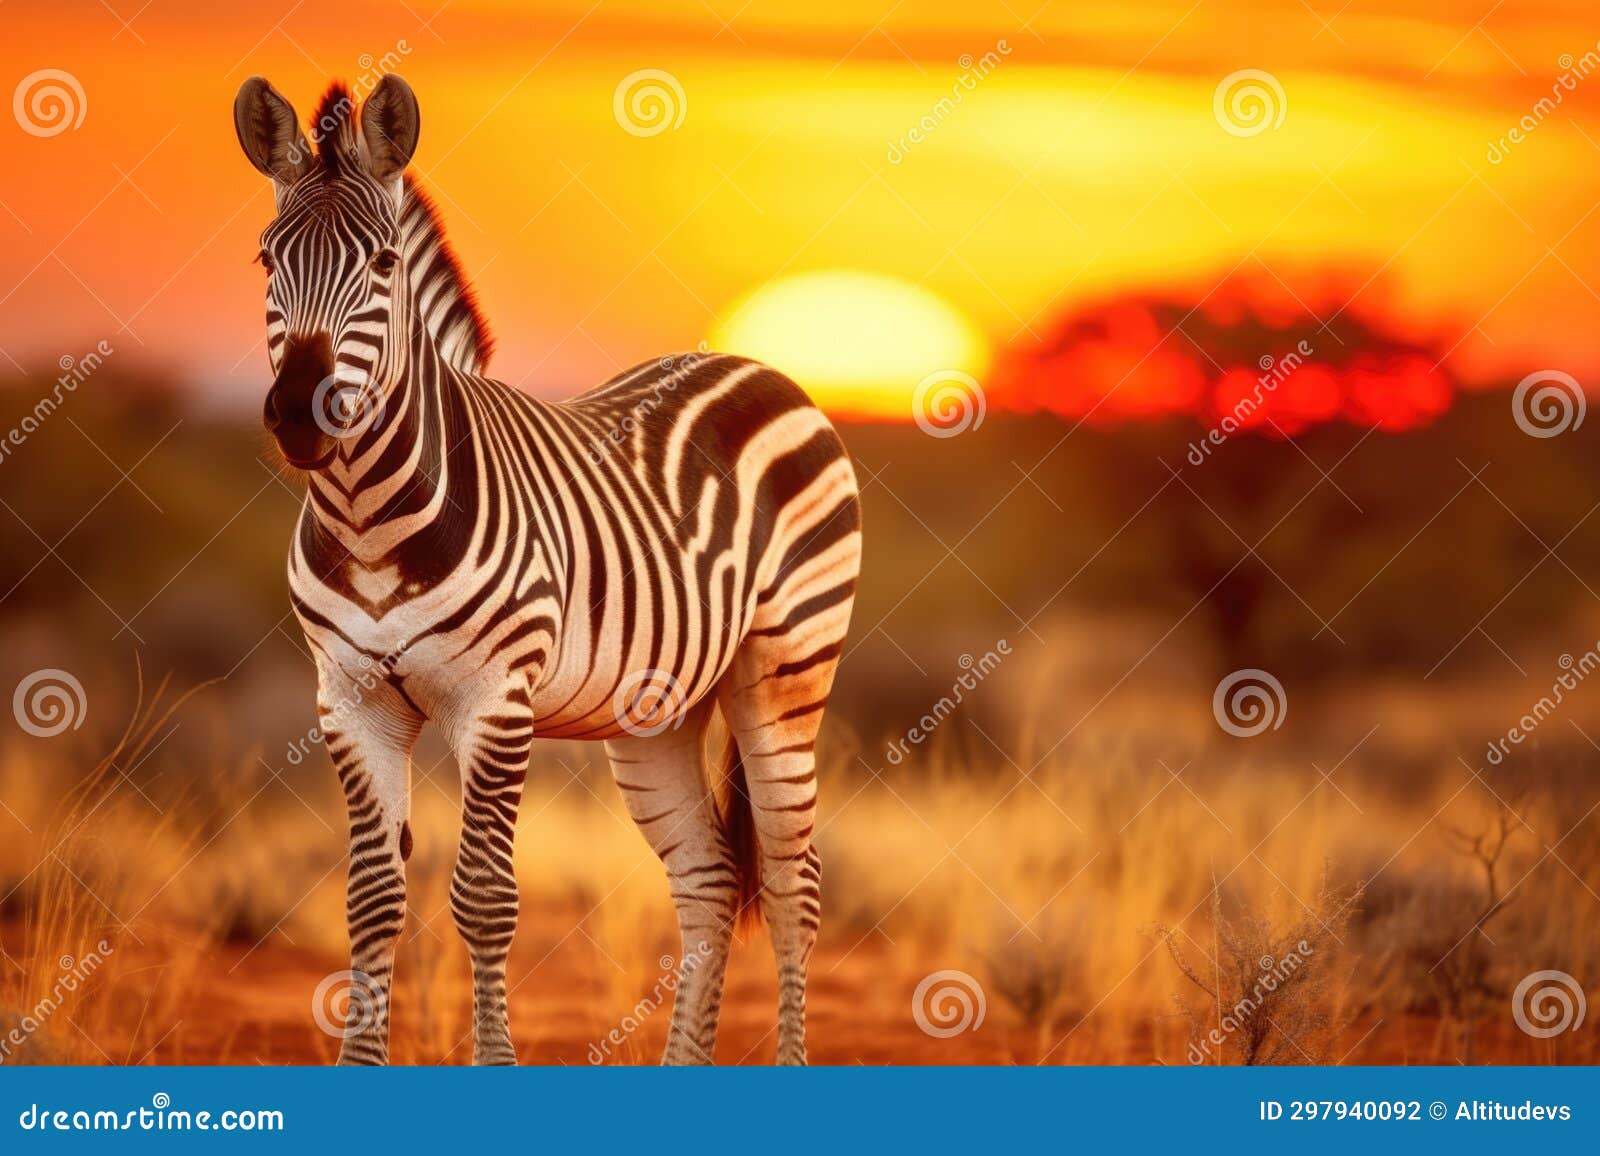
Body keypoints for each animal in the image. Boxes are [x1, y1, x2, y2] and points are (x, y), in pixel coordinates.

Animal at [233, 75, 861, 1065]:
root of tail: (756, 364)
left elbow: (485, 900)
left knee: (795, 880)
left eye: (382, 263)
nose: (300, 414)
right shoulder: (349, 700)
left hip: (787, 666)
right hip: (658, 710)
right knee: (711, 878)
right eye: (266, 261)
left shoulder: (497, 700)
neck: (371, 524)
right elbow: (371, 902)